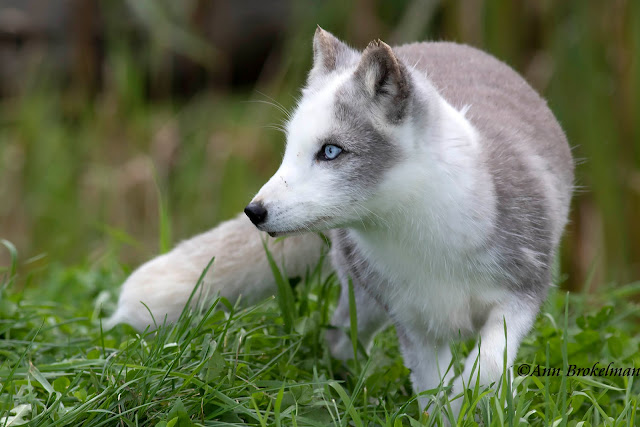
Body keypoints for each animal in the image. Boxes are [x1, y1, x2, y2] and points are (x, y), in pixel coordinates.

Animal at [106, 27, 574, 415]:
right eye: (289, 149)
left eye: (331, 151)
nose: (254, 211)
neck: (427, 240)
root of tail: (434, 43)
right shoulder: (413, 325)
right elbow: (433, 394)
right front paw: (451, 410)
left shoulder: (524, 293)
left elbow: (488, 367)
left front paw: (472, 399)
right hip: (365, 301)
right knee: (336, 339)